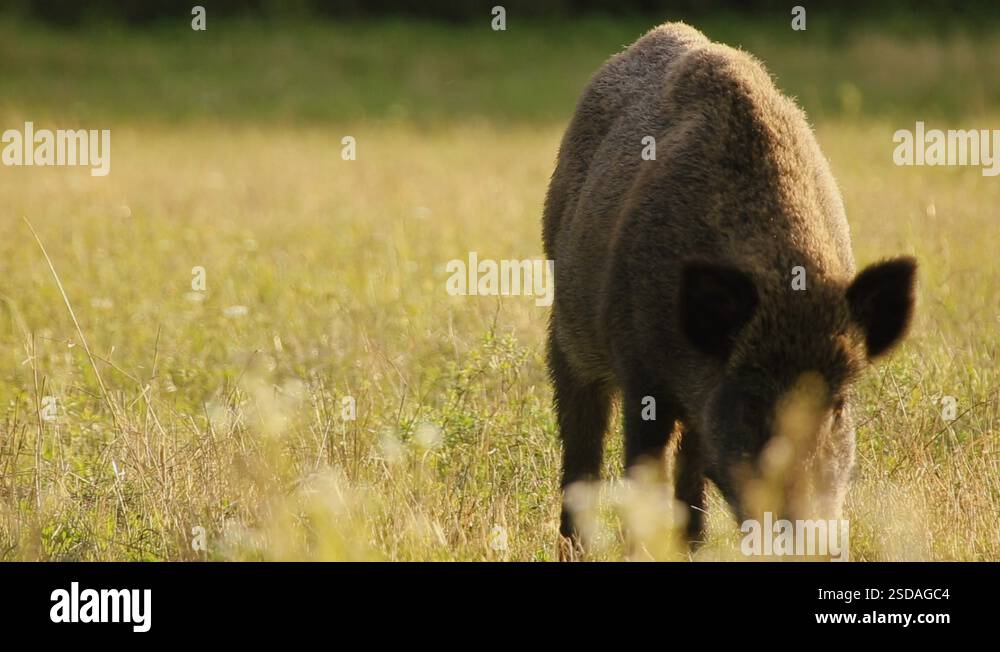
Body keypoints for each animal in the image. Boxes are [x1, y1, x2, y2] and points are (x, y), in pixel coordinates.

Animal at [542, 23, 916, 556]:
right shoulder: (640, 371)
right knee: (582, 448)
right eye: (753, 400)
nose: (810, 537)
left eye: (838, 405)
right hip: (566, 337)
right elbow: (643, 472)